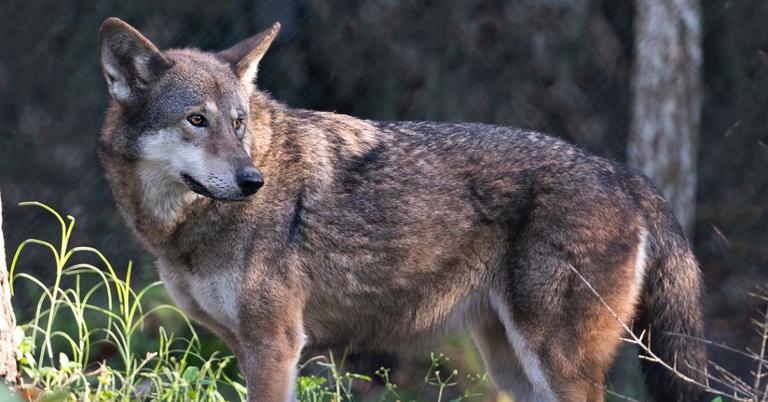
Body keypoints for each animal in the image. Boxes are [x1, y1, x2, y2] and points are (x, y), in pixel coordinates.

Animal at [97, 17, 706, 401]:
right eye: (197, 120)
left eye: (238, 123)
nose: (252, 180)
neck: (183, 230)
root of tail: (625, 174)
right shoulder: (245, 346)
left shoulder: (276, 346)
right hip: (513, 368)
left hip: (554, 364)